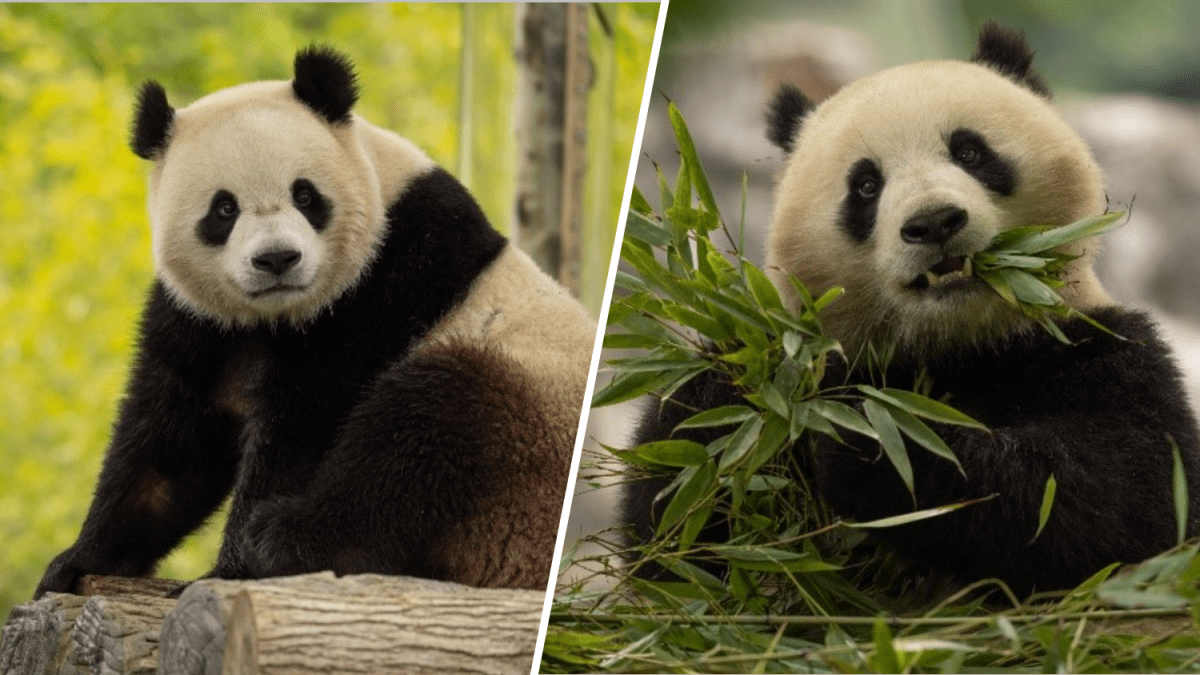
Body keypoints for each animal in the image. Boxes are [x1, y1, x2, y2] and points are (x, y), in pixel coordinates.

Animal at [34, 47, 596, 598]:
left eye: (305, 195)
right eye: (223, 209)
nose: (277, 259)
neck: (275, 317)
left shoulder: (383, 284)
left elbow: (304, 427)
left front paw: (231, 568)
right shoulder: (202, 321)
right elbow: (171, 443)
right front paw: (77, 561)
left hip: (524, 426)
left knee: (426, 427)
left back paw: (286, 538)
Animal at [622, 22, 1200, 596]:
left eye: (970, 153)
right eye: (865, 185)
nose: (934, 222)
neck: (955, 343)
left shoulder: (1098, 348)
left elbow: (1121, 498)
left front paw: (873, 439)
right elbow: (677, 533)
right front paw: (735, 399)